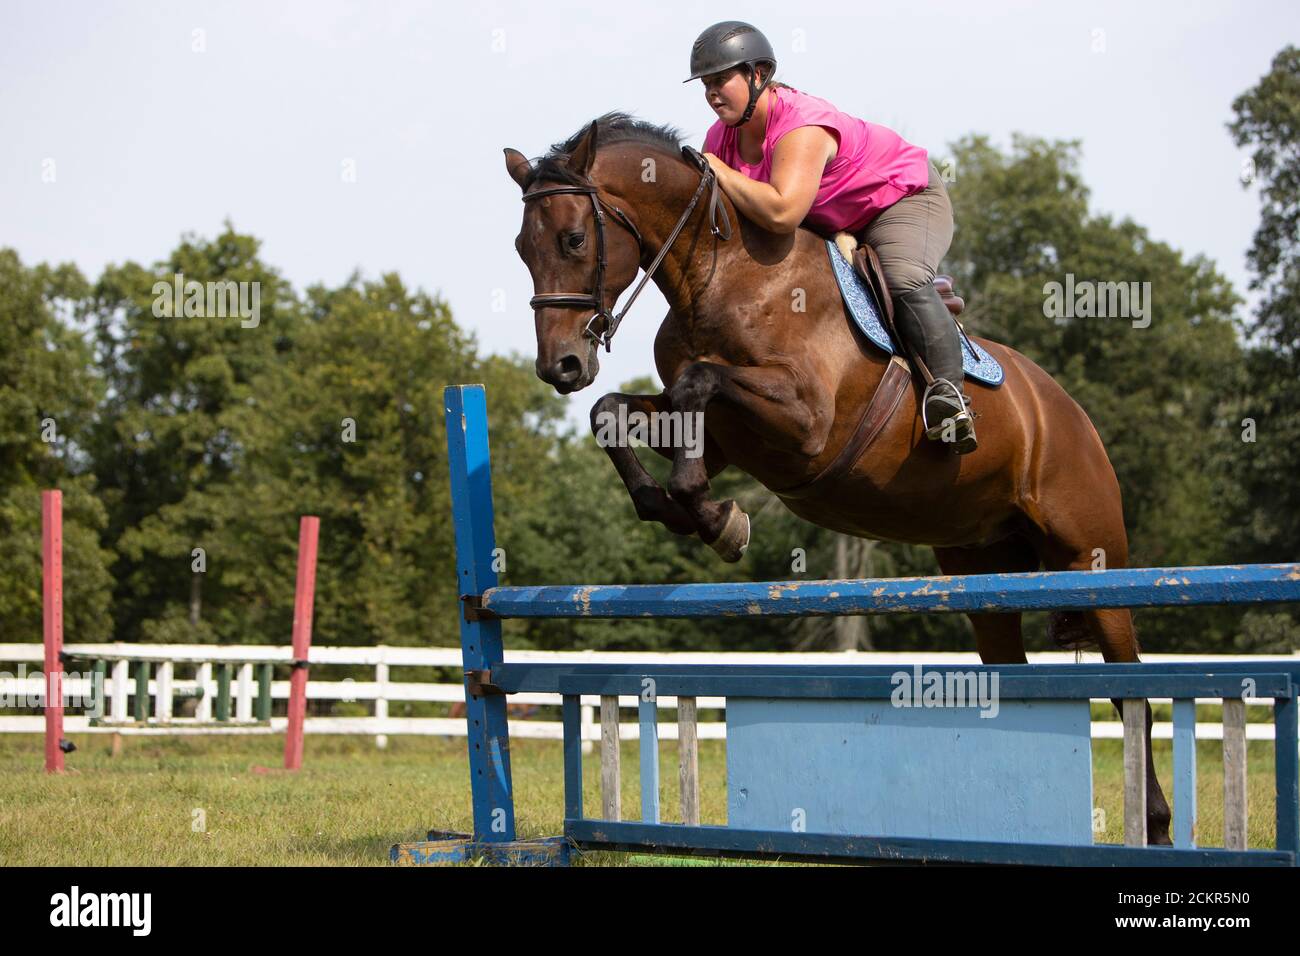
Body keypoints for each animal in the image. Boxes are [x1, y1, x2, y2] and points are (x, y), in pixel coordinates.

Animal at [503, 113, 1172, 844]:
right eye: (521, 248)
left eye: (572, 239)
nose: (560, 366)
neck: (721, 274)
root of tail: (1070, 412)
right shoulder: (725, 436)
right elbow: (614, 413)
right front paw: (685, 510)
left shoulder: (806, 421)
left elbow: (696, 381)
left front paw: (716, 520)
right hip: (981, 567)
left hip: (1090, 558)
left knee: (1130, 686)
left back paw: (1157, 826)